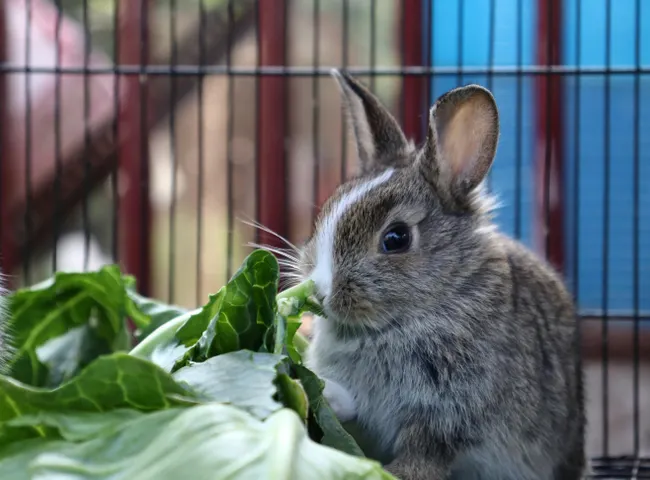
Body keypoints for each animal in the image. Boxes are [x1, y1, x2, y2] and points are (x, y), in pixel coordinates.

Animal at [297, 70, 586, 480]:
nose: (320, 290)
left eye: (396, 238)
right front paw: (317, 391)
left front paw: (398, 472)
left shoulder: (446, 411)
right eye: (324, 214)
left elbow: (425, 452)